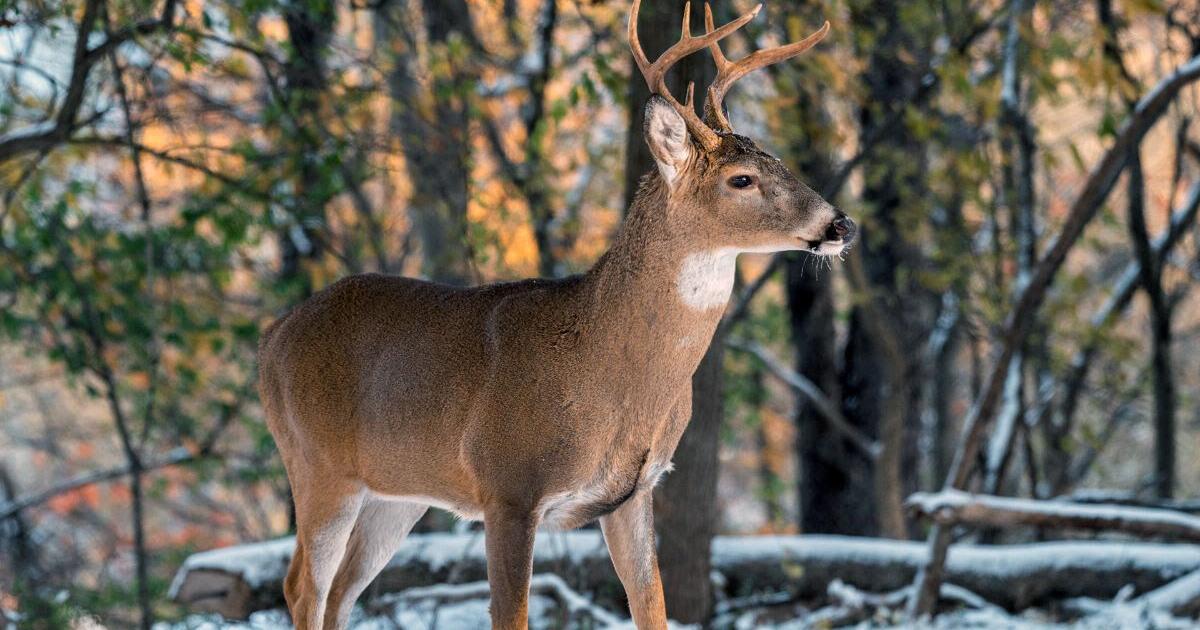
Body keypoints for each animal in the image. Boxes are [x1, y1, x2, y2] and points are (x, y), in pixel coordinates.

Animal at [257, 1, 851, 628]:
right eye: (741, 179)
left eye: (779, 161)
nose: (840, 224)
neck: (611, 373)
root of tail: (272, 337)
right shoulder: (509, 486)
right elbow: (511, 613)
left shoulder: (633, 493)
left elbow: (653, 608)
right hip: (318, 464)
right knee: (303, 585)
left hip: (398, 492)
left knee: (342, 590)